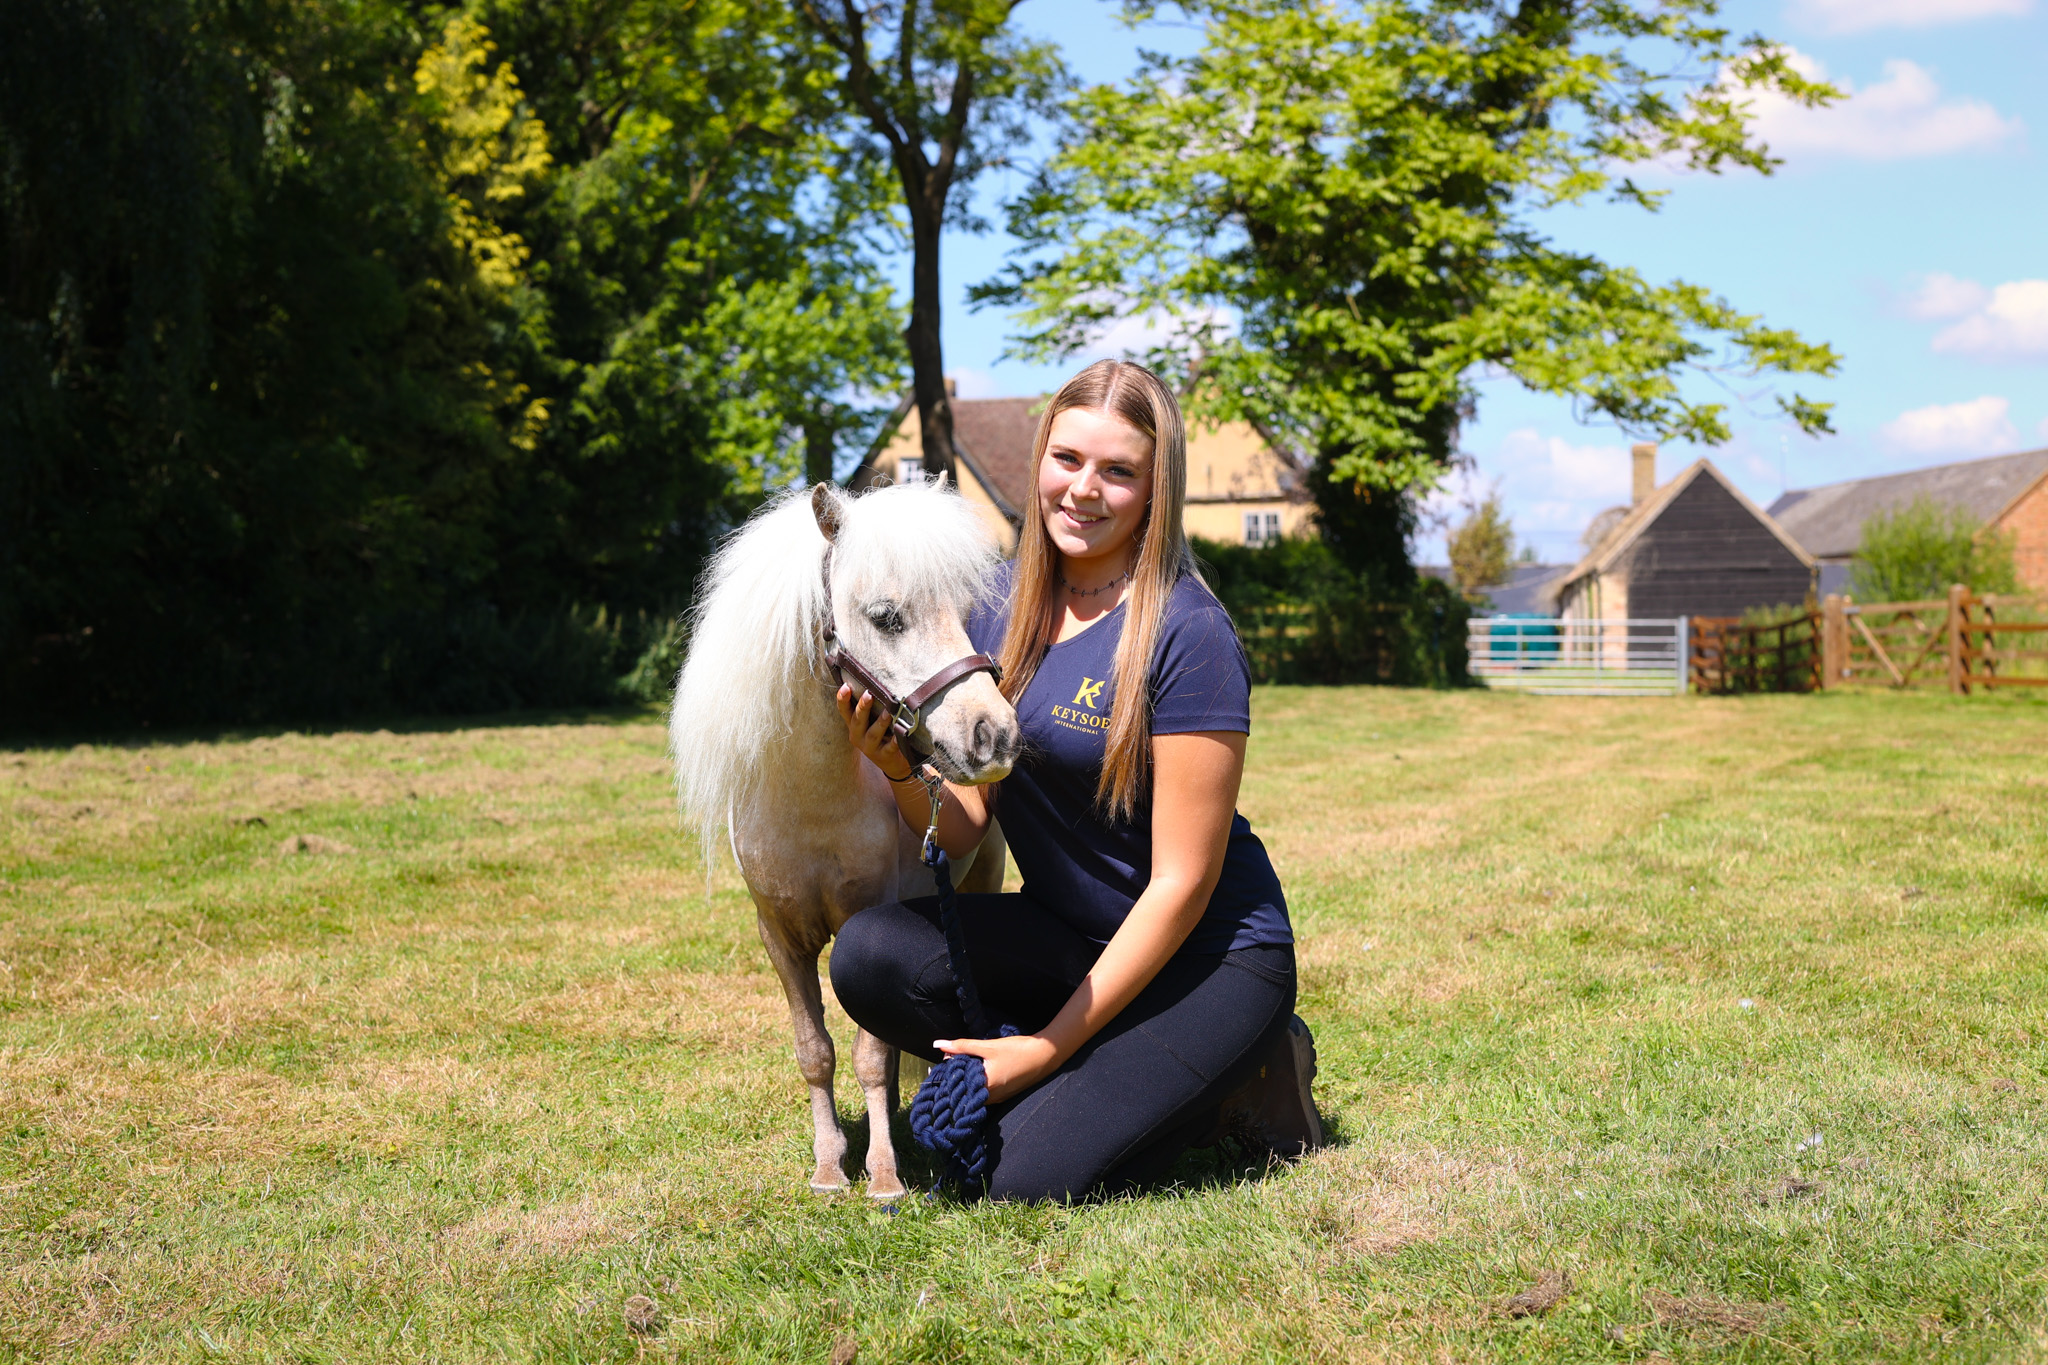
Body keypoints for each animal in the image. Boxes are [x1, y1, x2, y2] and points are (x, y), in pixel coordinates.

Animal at [670, 480, 1020, 1198]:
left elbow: (869, 1056)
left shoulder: (864, 922)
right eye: (886, 617)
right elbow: (815, 1051)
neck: (809, 805)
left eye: (963, 611)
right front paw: (829, 1165)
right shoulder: (781, 938)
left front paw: (883, 1175)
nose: (993, 735)